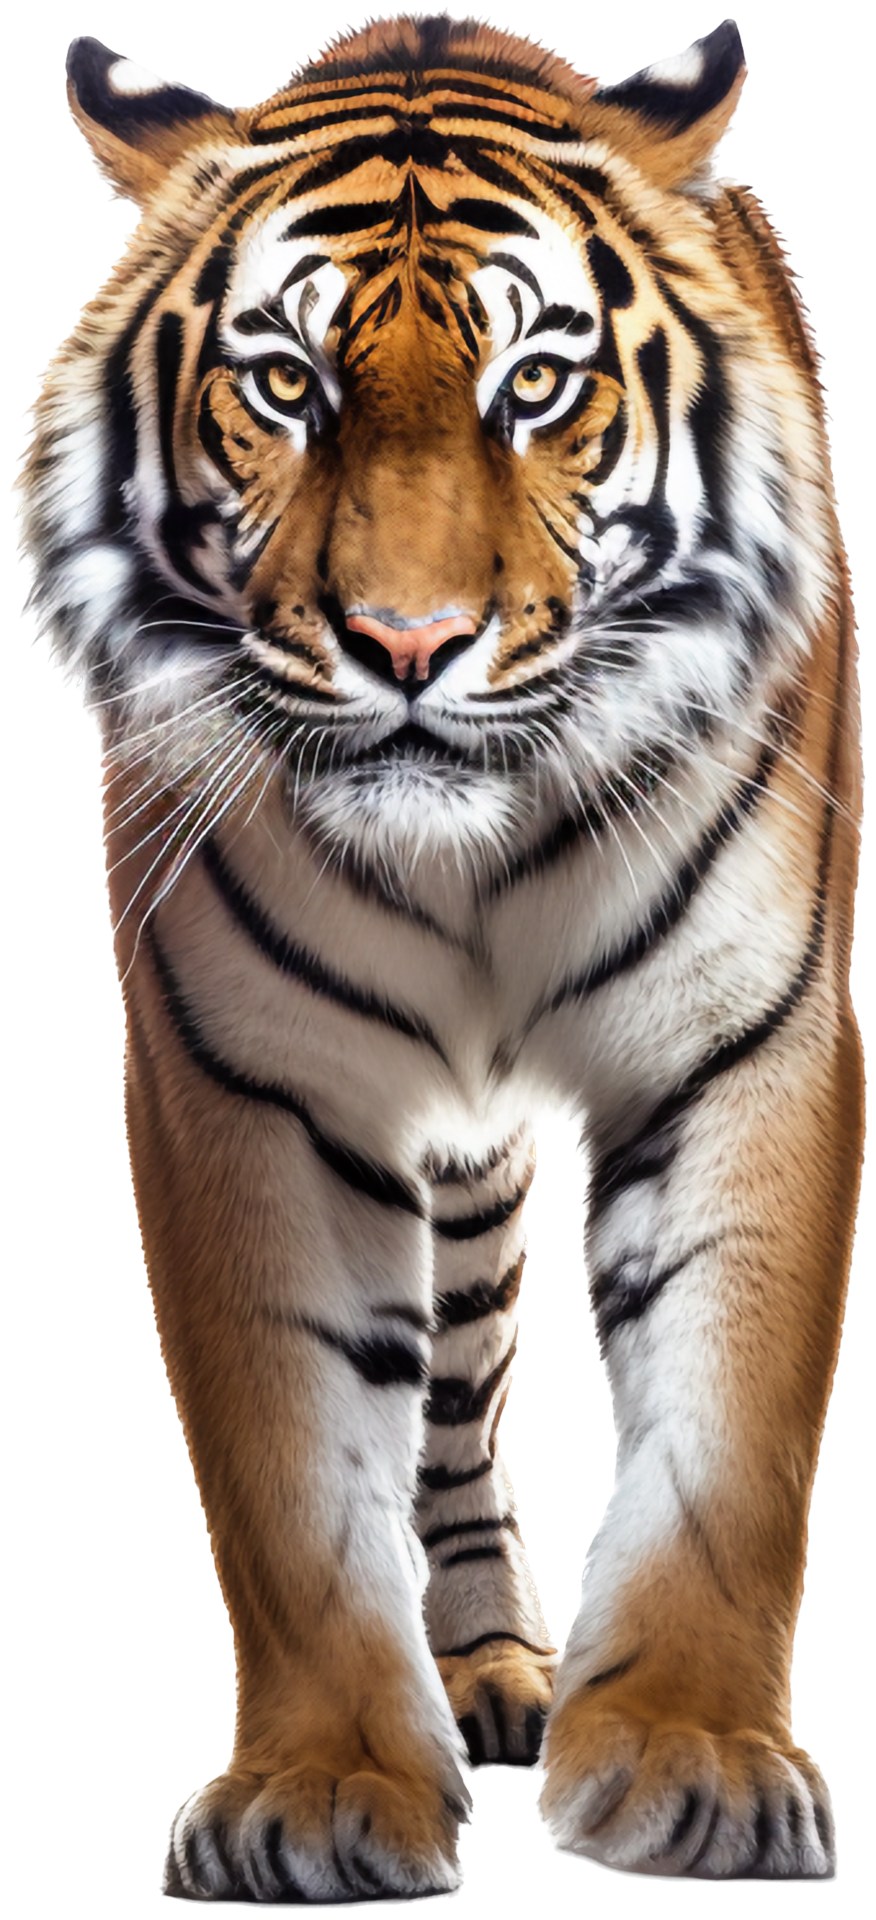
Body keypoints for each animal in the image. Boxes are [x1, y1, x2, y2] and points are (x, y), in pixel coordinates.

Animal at [14, 10, 864, 1898]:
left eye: (534, 385)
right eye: (284, 385)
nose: (409, 643)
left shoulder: (749, 1042)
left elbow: (732, 1434)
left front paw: (694, 1760)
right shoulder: (239, 1082)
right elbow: (289, 1466)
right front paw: (321, 1789)